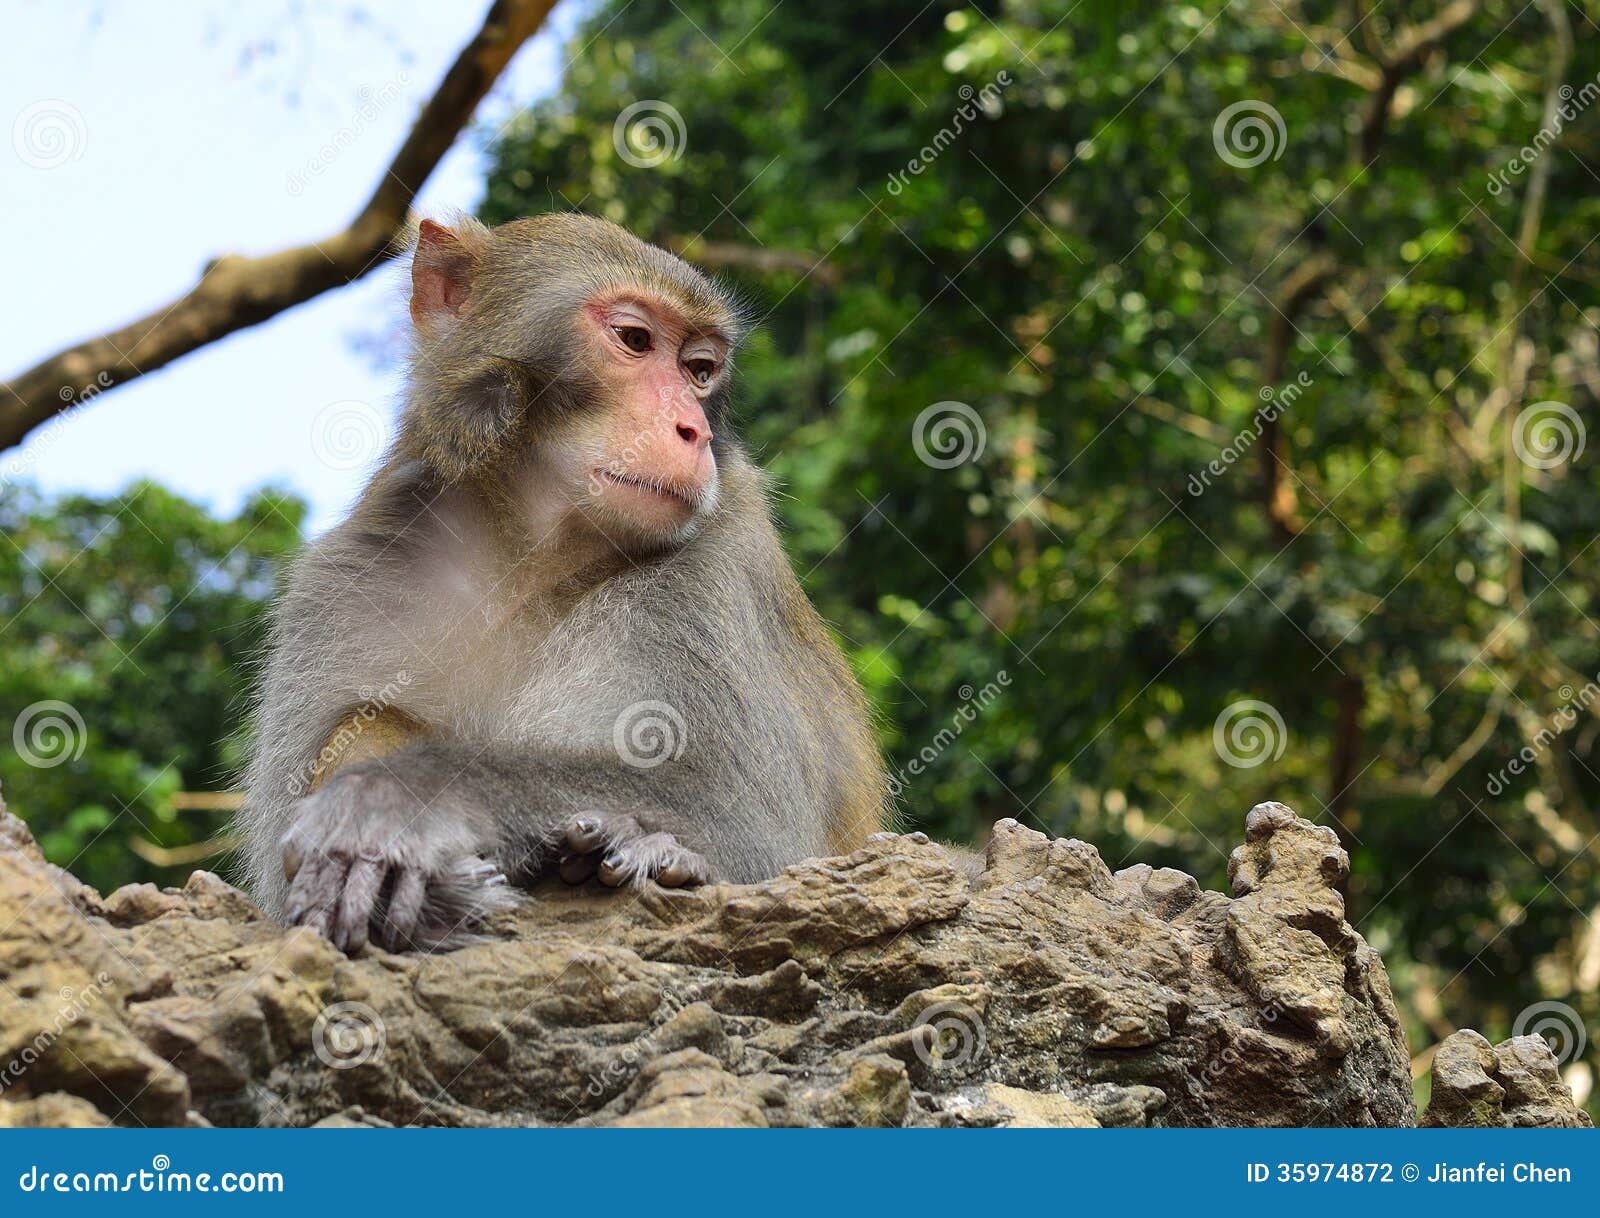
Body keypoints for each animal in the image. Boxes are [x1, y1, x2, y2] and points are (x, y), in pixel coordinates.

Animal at [238, 212, 890, 953]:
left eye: (699, 371)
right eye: (634, 339)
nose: (692, 430)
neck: (527, 550)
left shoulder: (719, 556)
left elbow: (749, 822)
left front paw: (394, 800)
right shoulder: (347, 576)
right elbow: (280, 884)